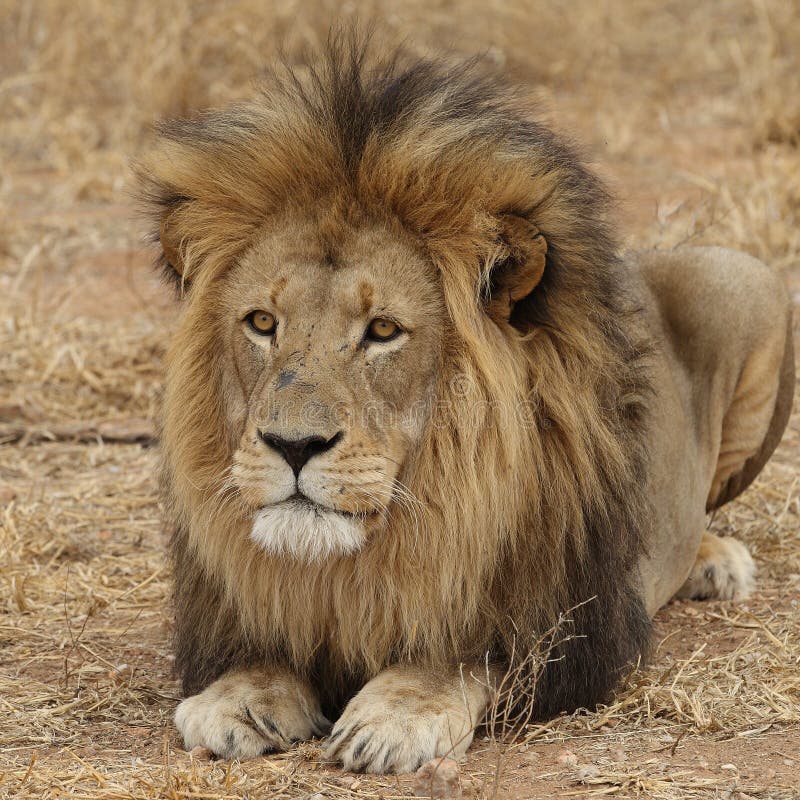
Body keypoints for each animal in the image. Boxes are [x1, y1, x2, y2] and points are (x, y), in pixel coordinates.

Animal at [137, 41, 795, 773]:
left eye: (383, 331)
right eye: (261, 323)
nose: (293, 446)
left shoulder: (565, 631)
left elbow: (457, 654)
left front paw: (393, 717)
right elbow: (263, 650)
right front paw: (238, 700)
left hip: (751, 285)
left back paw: (717, 560)